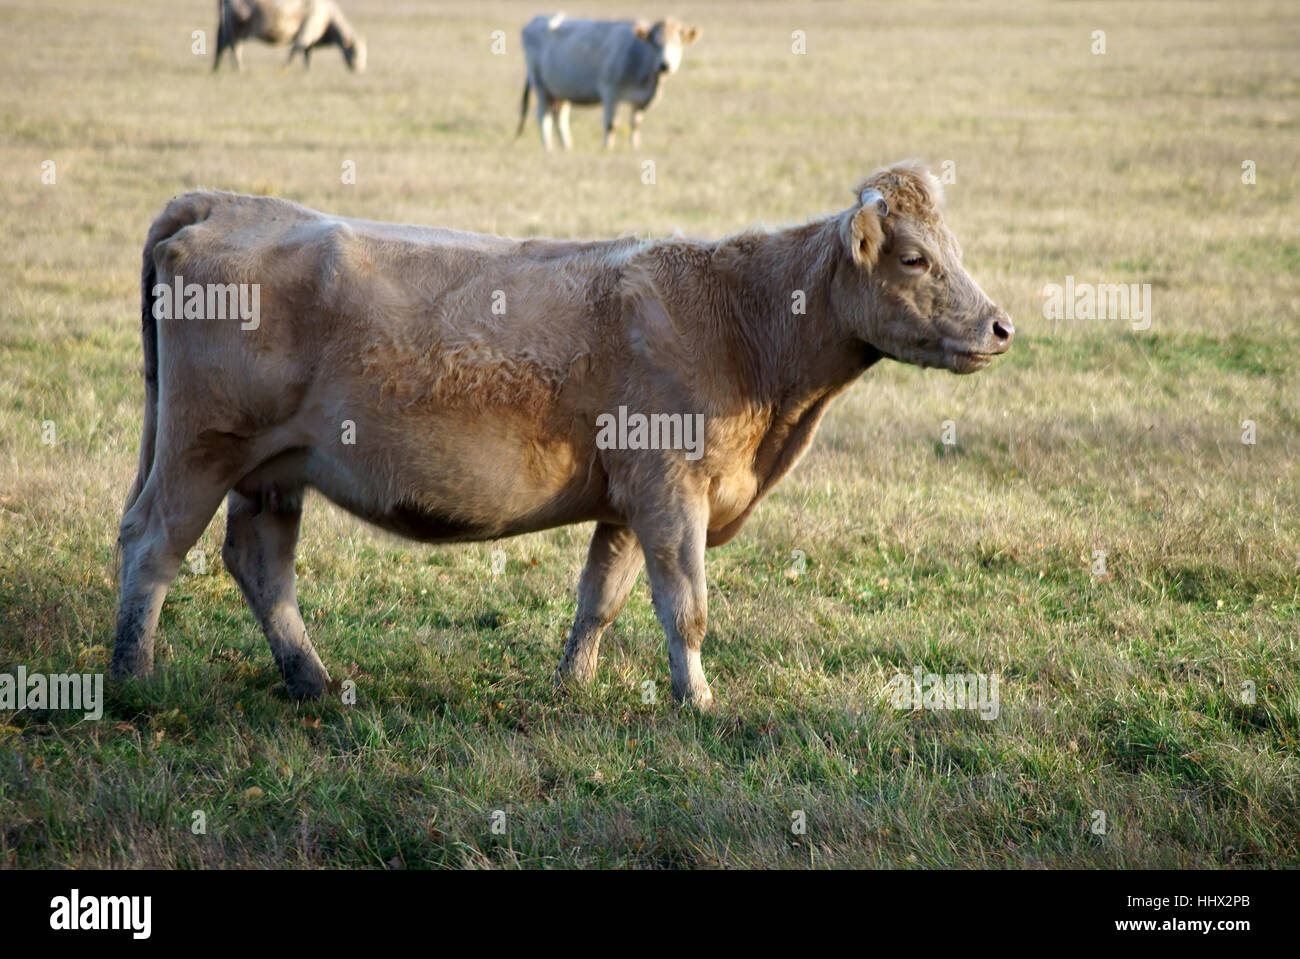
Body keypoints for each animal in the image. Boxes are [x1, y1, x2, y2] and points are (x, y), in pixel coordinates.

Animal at [110, 161, 1013, 710]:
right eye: (913, 258)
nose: (1001, 326)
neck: (739, 319)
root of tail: (223, 203)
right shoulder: (671, 491)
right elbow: (685, 607)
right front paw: (699, 700)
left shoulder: (627, 500)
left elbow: (600, 598)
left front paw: (572, 685)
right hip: (201, 447)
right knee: (153, 544)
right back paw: (132, 676)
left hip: (273, 468)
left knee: (261, 563)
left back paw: (312, 679)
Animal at [212, 0, 366, 73]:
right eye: (355, 53)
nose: (360, 70)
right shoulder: (307, 29)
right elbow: (296, 50)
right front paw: (284, 68)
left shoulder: (309, 37)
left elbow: (307, 55)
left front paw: (308, 71)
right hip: (237, 26)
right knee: (235, 47)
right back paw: (239, 69)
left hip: (228, 25)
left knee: (221, 44)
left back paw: (215, 68)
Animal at [517, 13, 701, 150]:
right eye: (655, 44)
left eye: (678, 44)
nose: (665, 65)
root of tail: (536, 19)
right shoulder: (610, 91)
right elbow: (611, 125)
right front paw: (607, 149)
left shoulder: (641, 101)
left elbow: (635, 125)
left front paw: (635, 148)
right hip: (540, 84)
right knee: (544, 116)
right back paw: (548, 148)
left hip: (561, 89)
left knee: (560, 118)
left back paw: (567, 147)